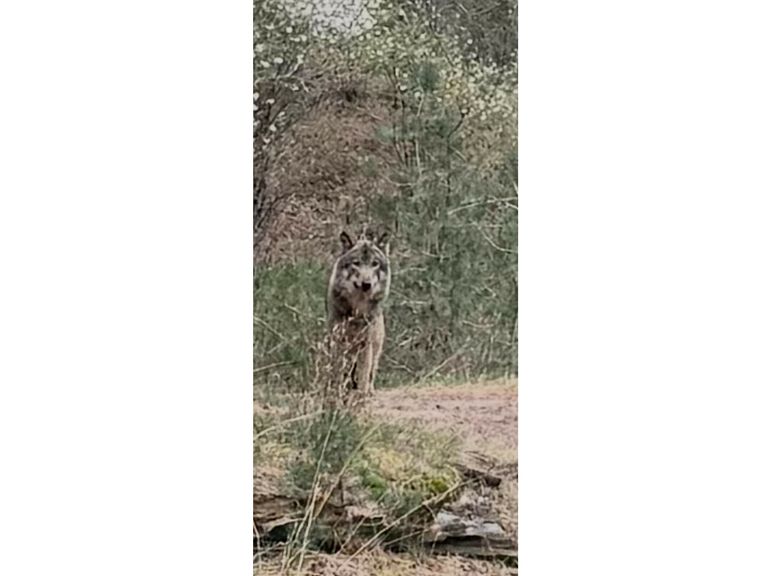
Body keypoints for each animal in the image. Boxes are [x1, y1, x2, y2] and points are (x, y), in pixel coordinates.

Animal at [326, 229, 391, 395]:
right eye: (356, 263)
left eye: (375, 264)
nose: (366, 284)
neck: (356, 311)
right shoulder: (339, 341)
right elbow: (337, 372)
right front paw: (336, 392)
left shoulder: (365, 344)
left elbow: (363, 375)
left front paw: (361, 395)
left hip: (375, 348)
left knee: (370, 374)